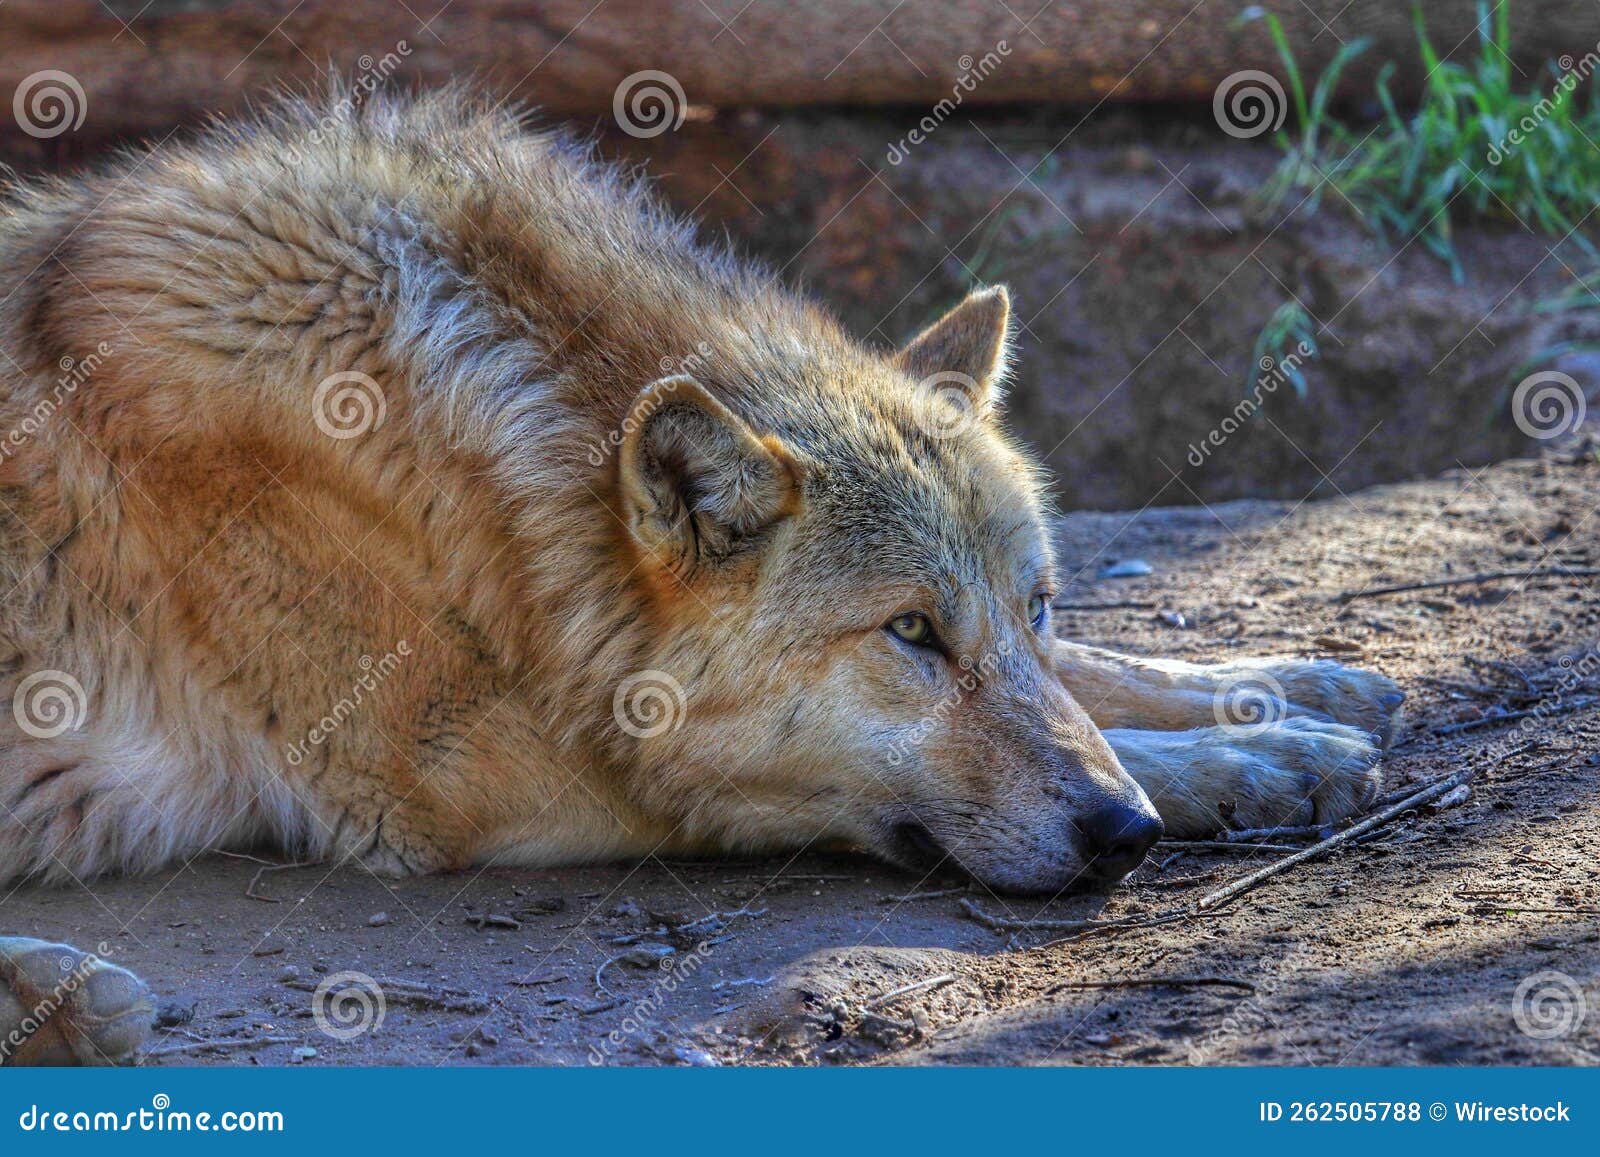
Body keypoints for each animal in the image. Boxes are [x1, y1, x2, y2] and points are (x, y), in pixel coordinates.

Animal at [0, 90, 1400, 894]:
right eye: (910, 633)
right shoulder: (477, 774)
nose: (1123, 831)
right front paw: (1242, 758)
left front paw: (1295, 695)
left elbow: (1108, 672)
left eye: (1035, 606)